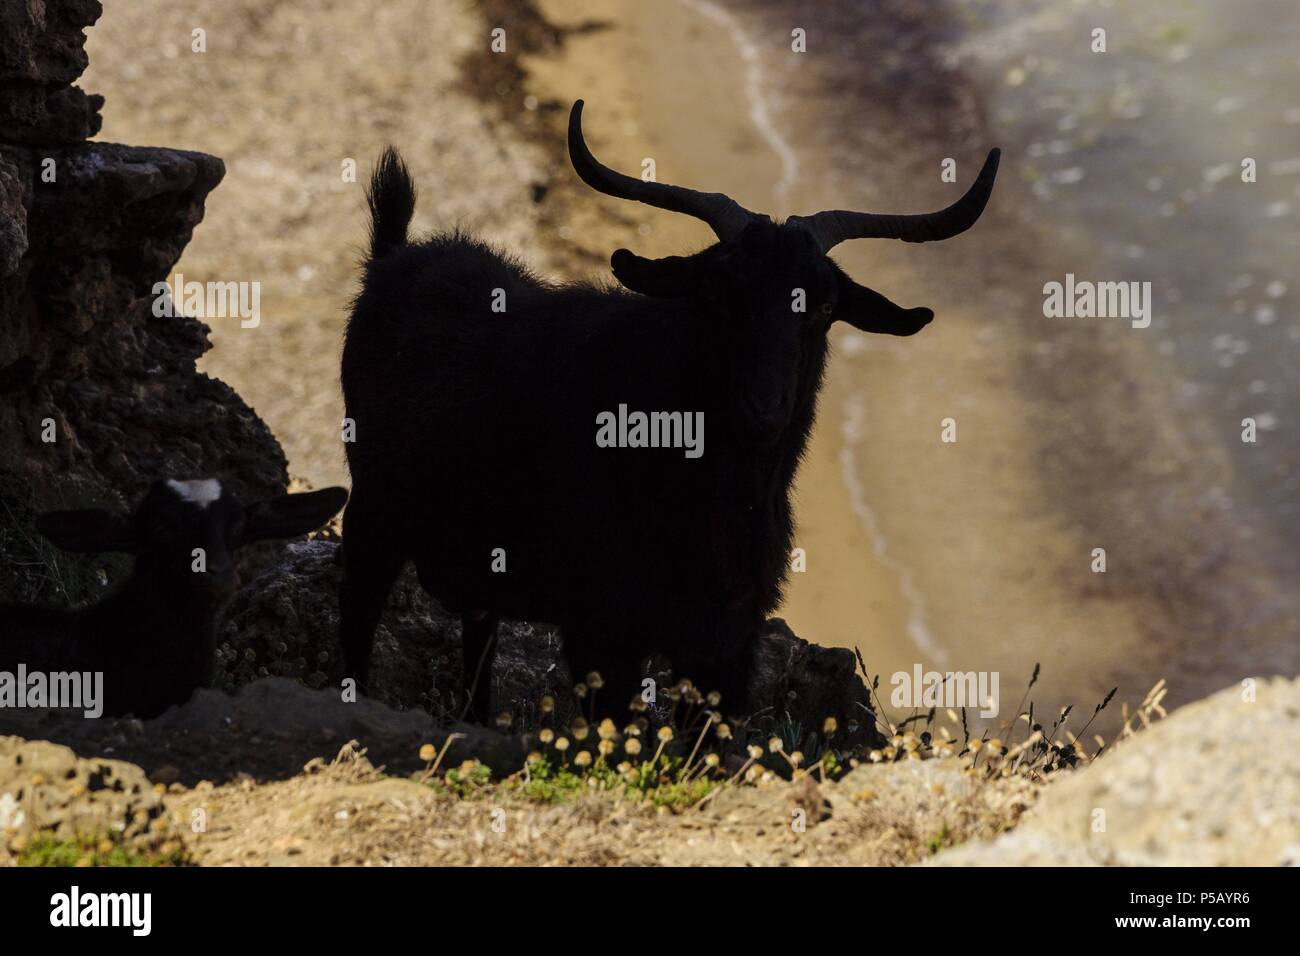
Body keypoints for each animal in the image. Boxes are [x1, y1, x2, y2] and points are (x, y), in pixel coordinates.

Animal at [340, 100, 999, 719]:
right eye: (716, 292)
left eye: (824, 304)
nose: (763, 409)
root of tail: (392, 258)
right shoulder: (600, 628)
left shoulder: (725, 643)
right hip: (372, 514)